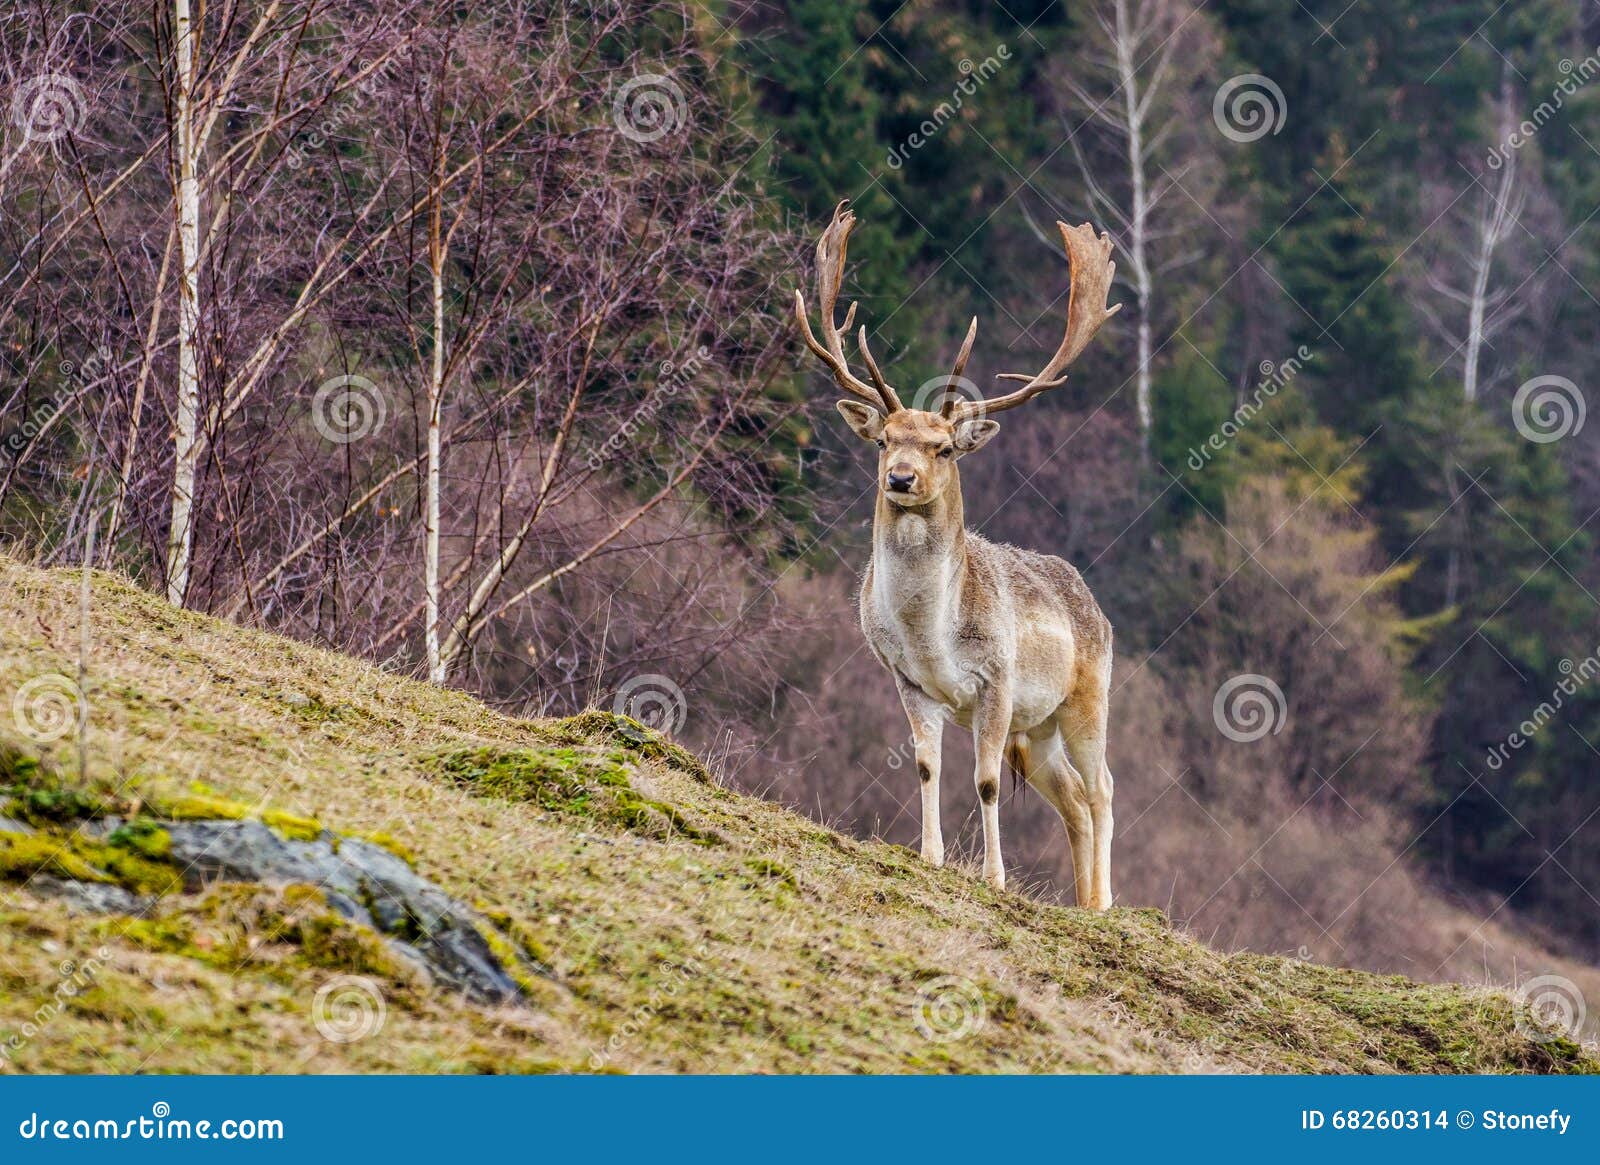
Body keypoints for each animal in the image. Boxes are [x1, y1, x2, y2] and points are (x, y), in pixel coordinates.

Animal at [793, 200, 1122, 909]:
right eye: (884, 439)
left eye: (944, 447)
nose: (901, 477)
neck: (932, 632)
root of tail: (1094, 602)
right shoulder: (908, 679)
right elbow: (926, 766)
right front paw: (931, 856)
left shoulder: (996, 680)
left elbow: (987, 781)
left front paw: (993, 877)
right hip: (1038, 728)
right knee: (1073, 798)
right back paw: (1082, 901)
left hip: (1086, 695)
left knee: (1103, 787)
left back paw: (1107, 904)